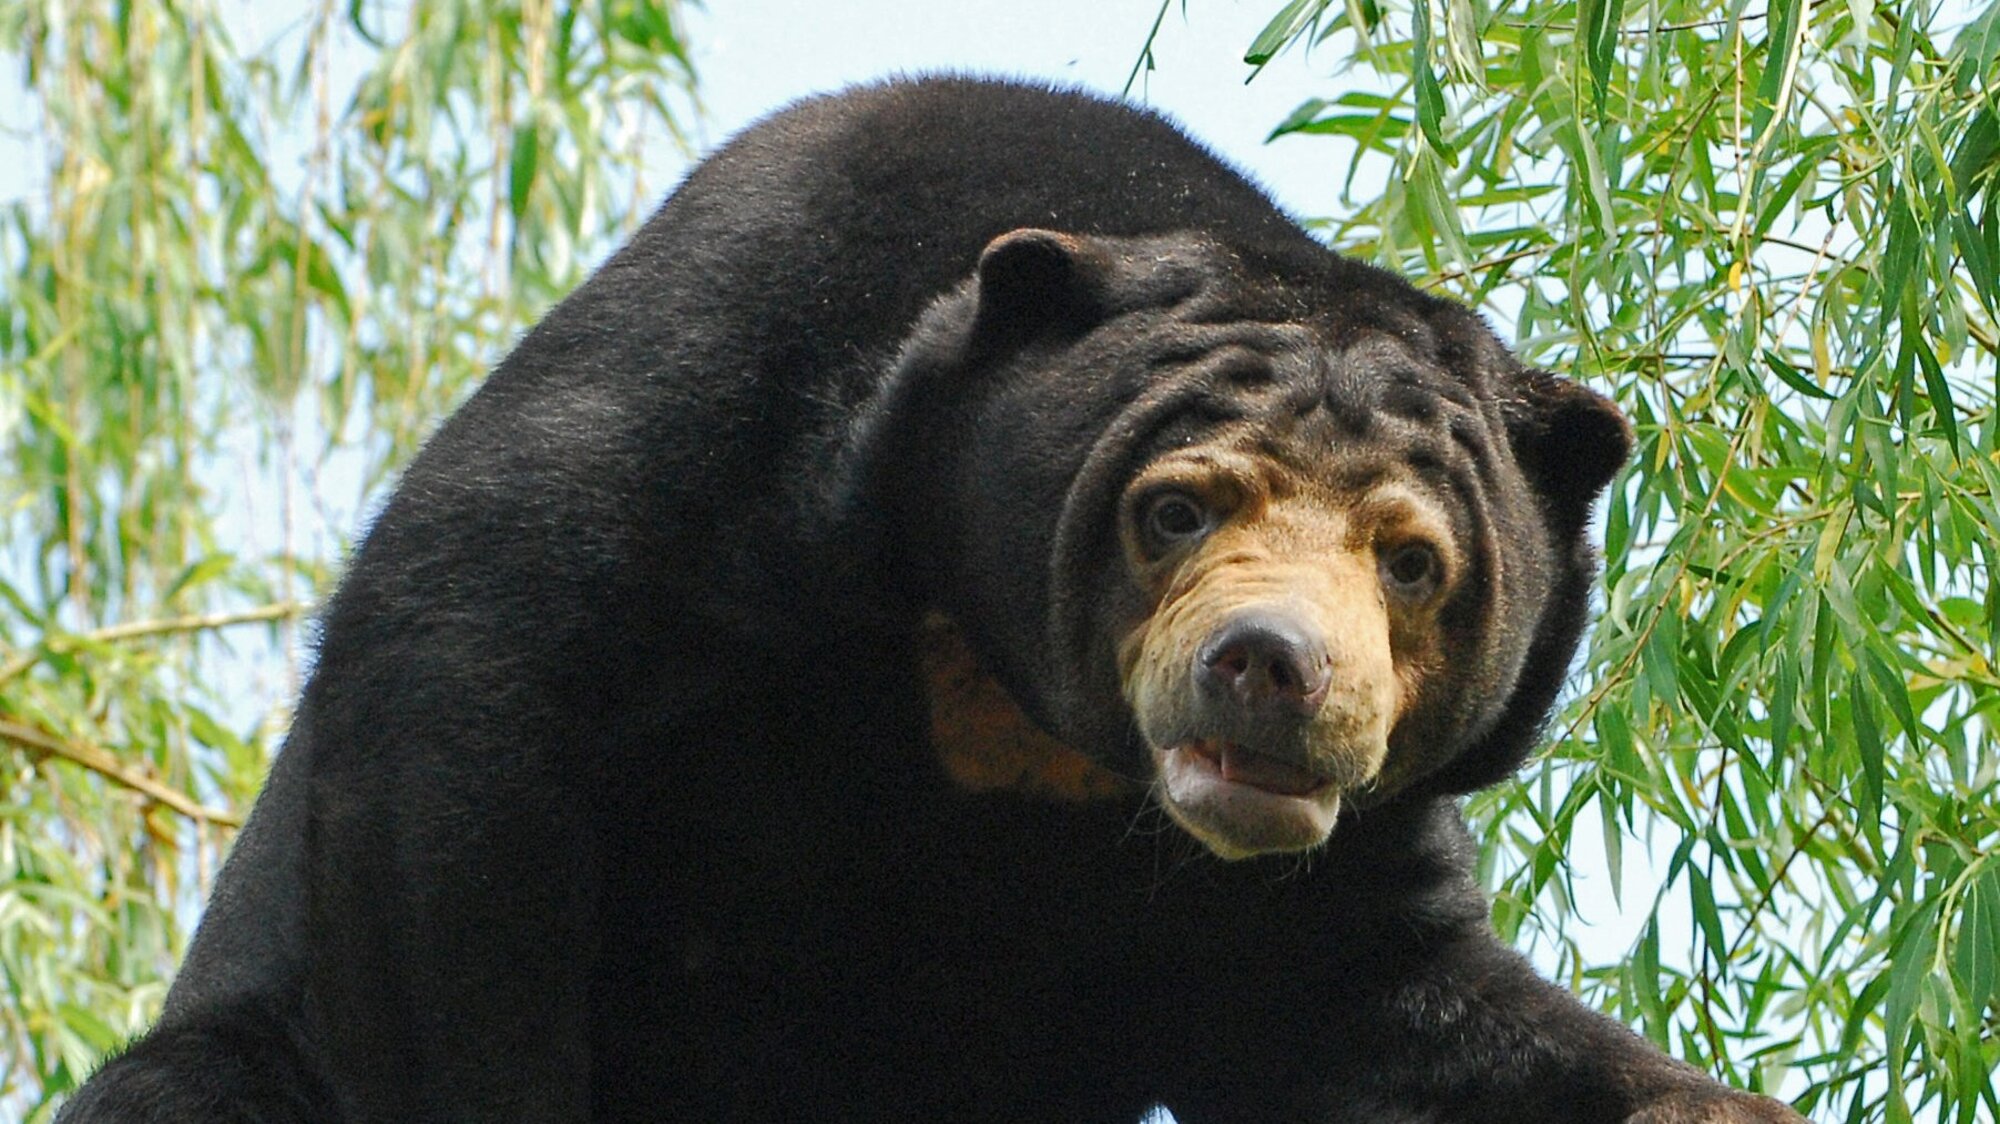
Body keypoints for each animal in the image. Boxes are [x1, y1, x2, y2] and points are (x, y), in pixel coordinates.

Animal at [60, 77, 1805, 1123]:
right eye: (1175, 510)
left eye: (1412, 561)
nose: (1269, 670)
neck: (1008, 710)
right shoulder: (704, 403)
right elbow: (473, 715)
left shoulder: (1306, 882)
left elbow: (1395, 1009)